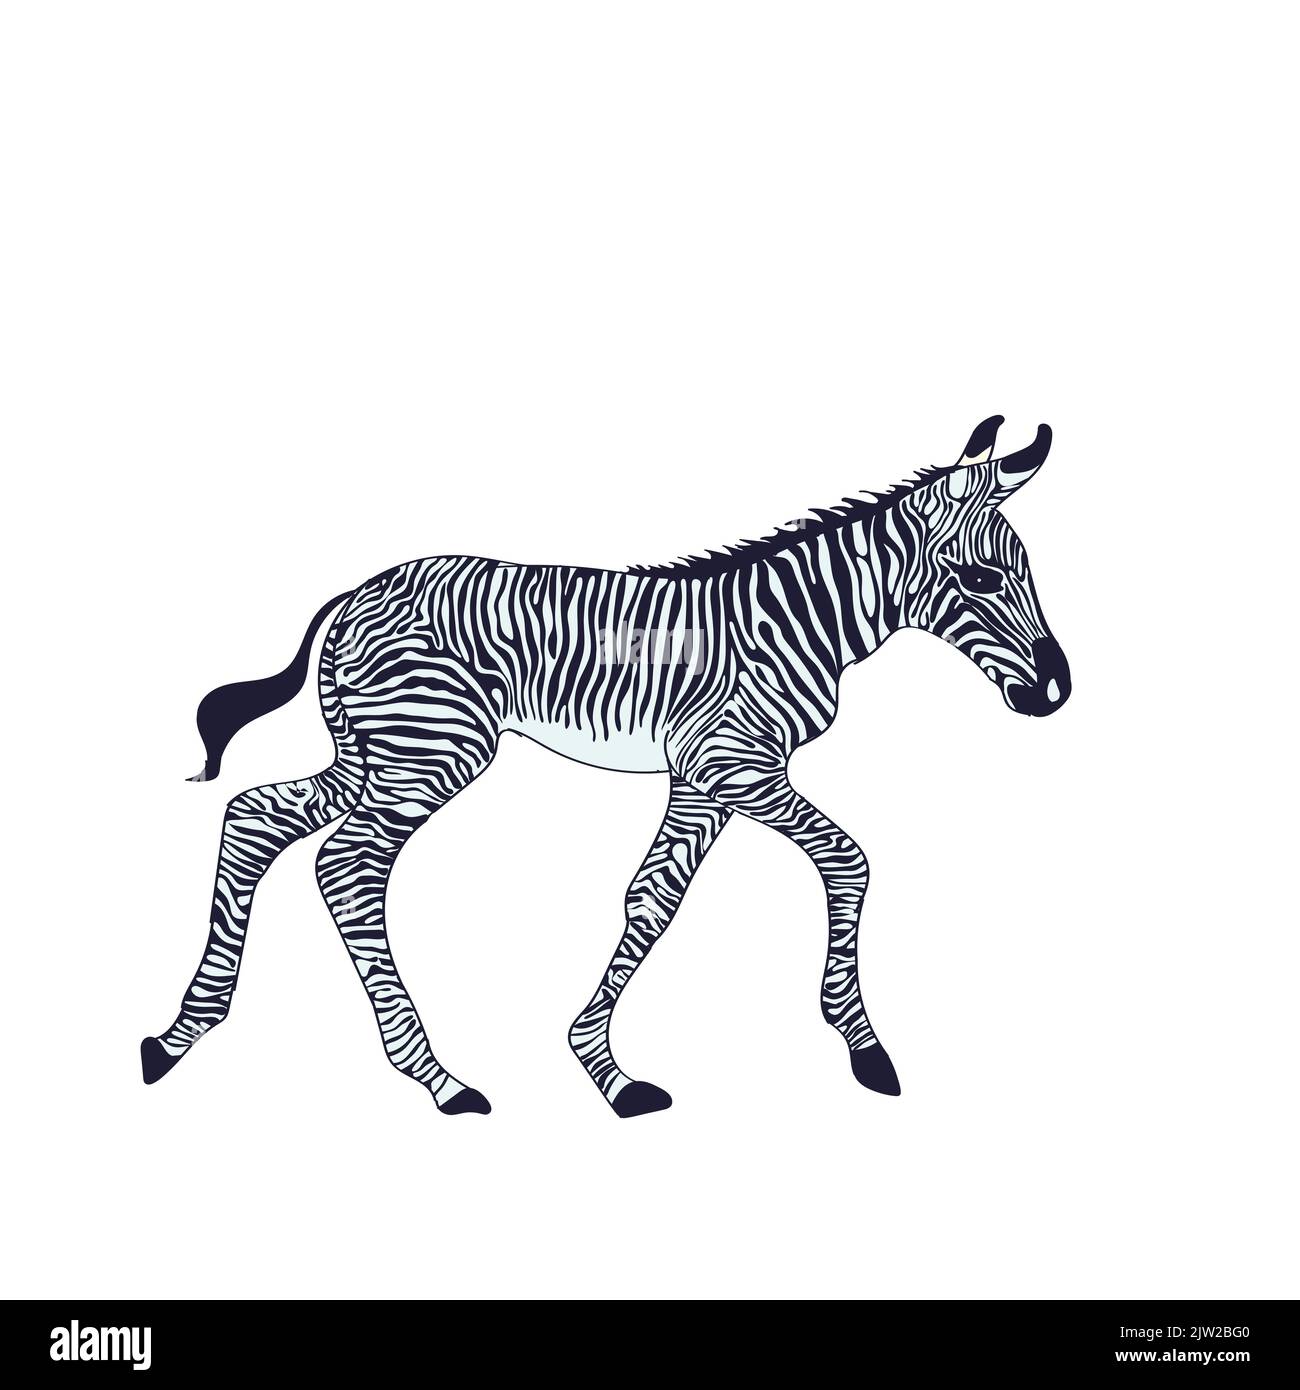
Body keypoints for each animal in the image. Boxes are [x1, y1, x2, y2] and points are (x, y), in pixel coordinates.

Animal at [142, 415, 1070, 1117]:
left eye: (1025, 571)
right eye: (983, 576)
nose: (1057, 691)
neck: (795, 622)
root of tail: (351, 596)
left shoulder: (700, 777)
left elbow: (651, 900)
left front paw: (603, 1069)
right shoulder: (738, 764)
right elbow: (849, 861)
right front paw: (864, 1046)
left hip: (375, 750)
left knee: (257, 817)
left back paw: (177, 1036)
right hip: (431, 747)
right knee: (346, 866)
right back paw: (438, 1080)